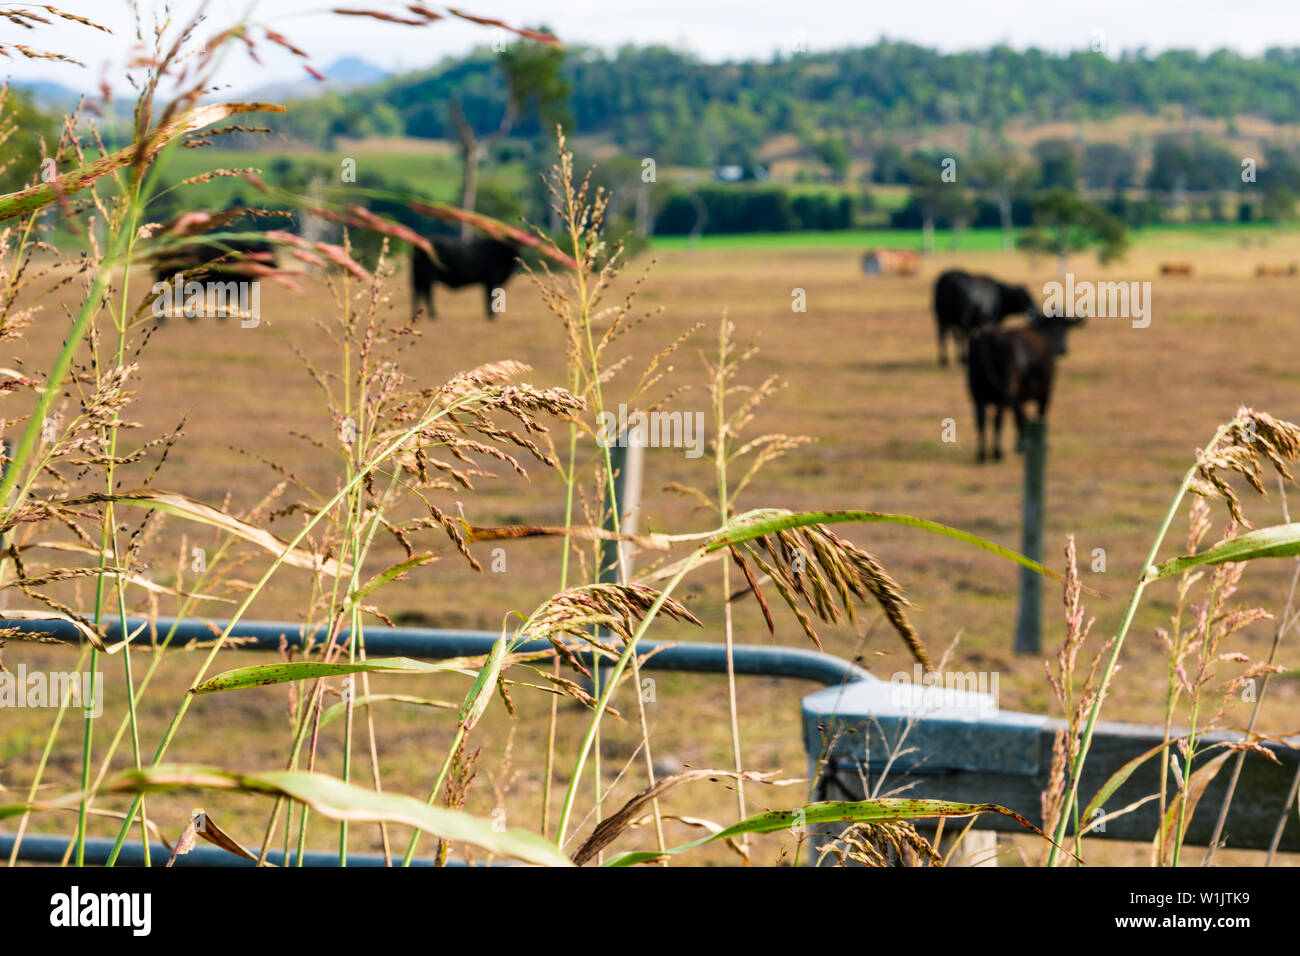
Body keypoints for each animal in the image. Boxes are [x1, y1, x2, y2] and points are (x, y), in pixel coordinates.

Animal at [966, 310, 1084, 462]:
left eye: (1065, 327)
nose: (1063, 349)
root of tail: (990, 335)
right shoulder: (1045, 392)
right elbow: (1038, 415)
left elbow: (1019, 417)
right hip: (1006, 391)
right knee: (999, 418)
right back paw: (998, 453)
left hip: (977, 392)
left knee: (981, 420)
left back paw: (981, 455)